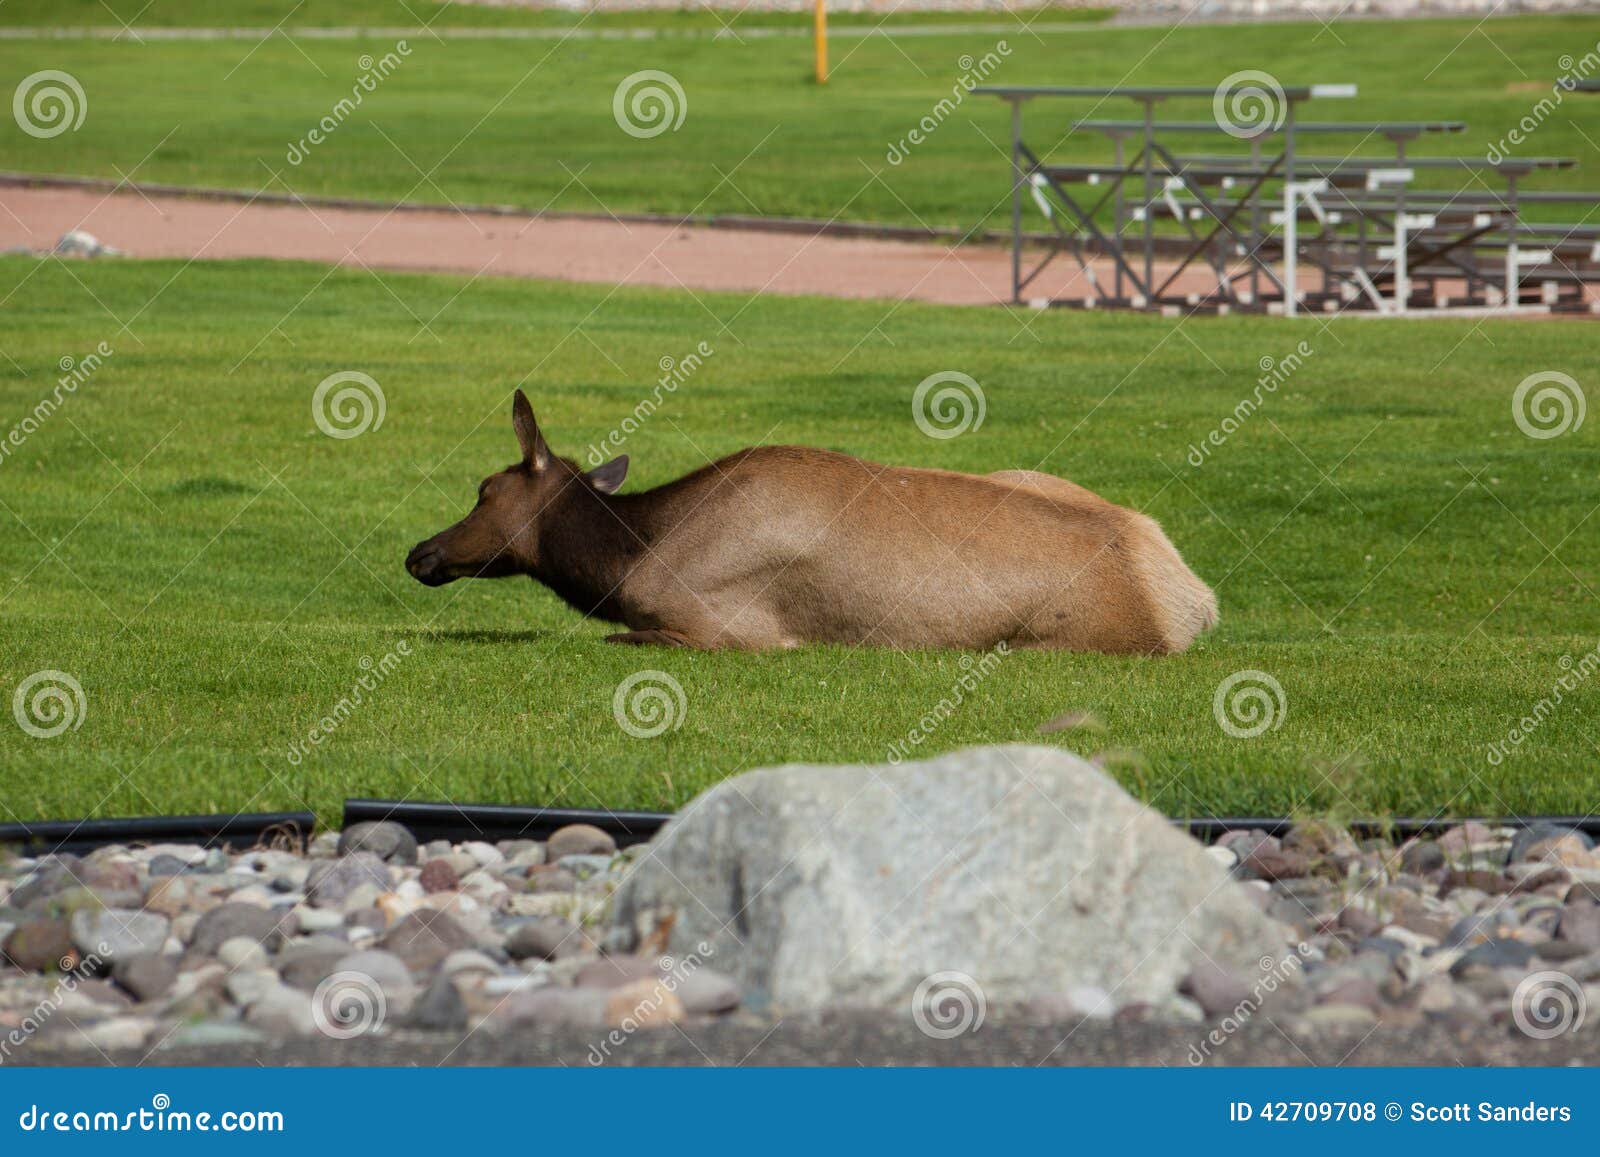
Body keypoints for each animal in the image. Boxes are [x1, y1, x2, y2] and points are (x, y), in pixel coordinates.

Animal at [405, 390, 1218, 654]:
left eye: (482, 489)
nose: (420, 552)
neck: (628, 554)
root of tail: (1194, 597)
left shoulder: (722, 630)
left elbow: (616, 639)